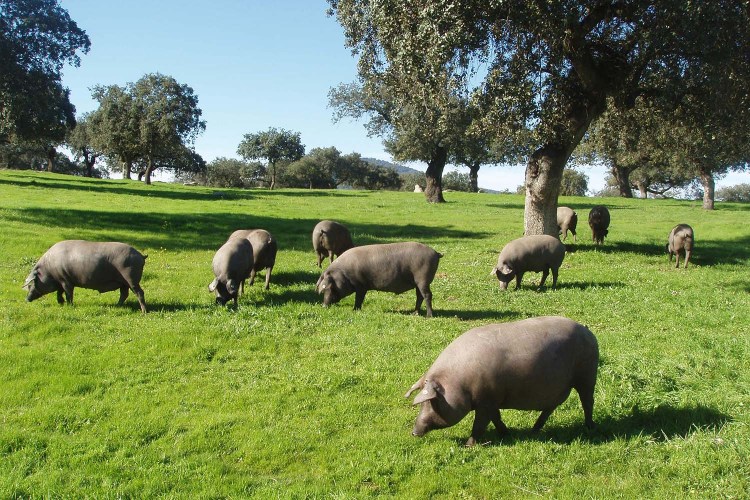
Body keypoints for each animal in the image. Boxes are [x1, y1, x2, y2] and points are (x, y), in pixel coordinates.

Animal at [405, 316, 599, 447]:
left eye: (432, 402)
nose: (414, 433)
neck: (459, 383)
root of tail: (587, 330)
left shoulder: (485, 401)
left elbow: (480, 424)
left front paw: (468, 446)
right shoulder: (491, 400)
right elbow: (496, 418)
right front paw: (506, 434)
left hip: (587, 375)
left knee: (587, 402)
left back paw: (590, 427)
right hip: (561, 388)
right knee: (550, 408)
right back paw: (534, 430)